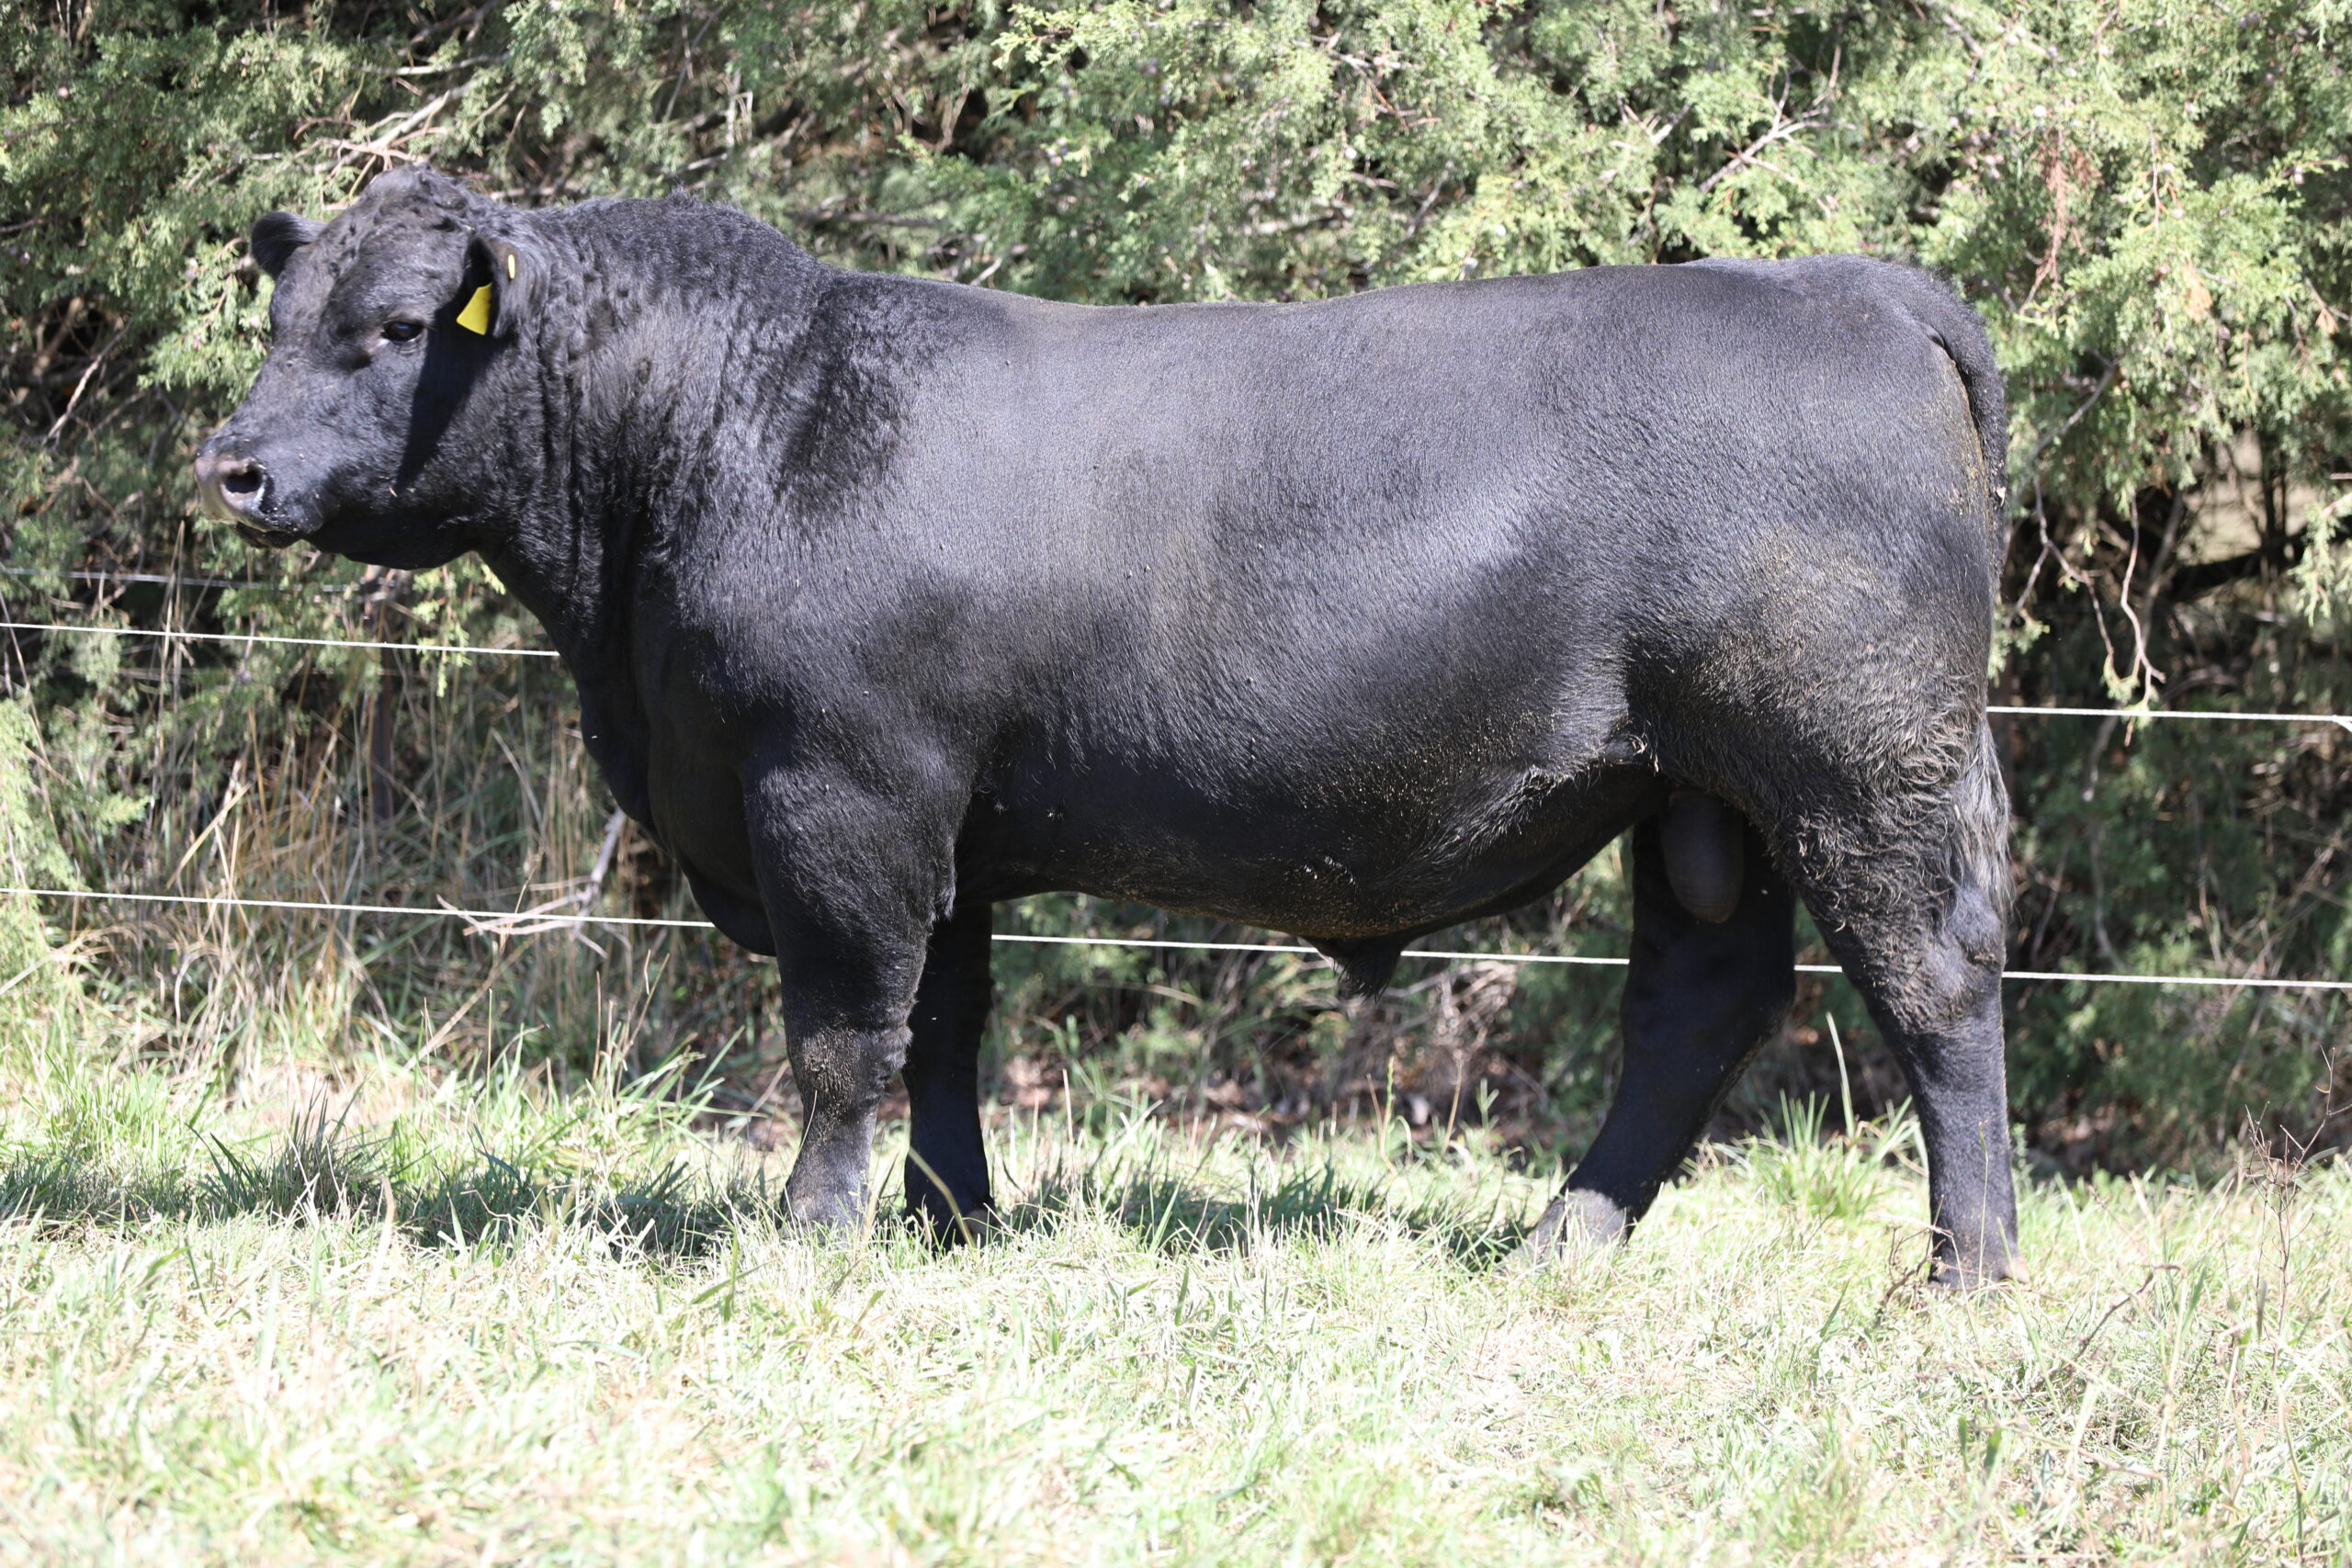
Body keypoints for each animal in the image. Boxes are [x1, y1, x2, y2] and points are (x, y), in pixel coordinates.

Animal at [196, 166, 2018, 1285]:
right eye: (277, 319)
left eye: (395, 327)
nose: (233, 466)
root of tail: (1848, 282)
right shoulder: (943, 819)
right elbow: (943, 1028)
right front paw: (950, 1220)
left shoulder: (837, 790)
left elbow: (841, 1033)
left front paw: (813, 1232)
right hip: (1698, 795)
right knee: (1696, 1004)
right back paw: (1565, 1237)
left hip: (1860, 764)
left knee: (1933, 987)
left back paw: (1965, 1271)